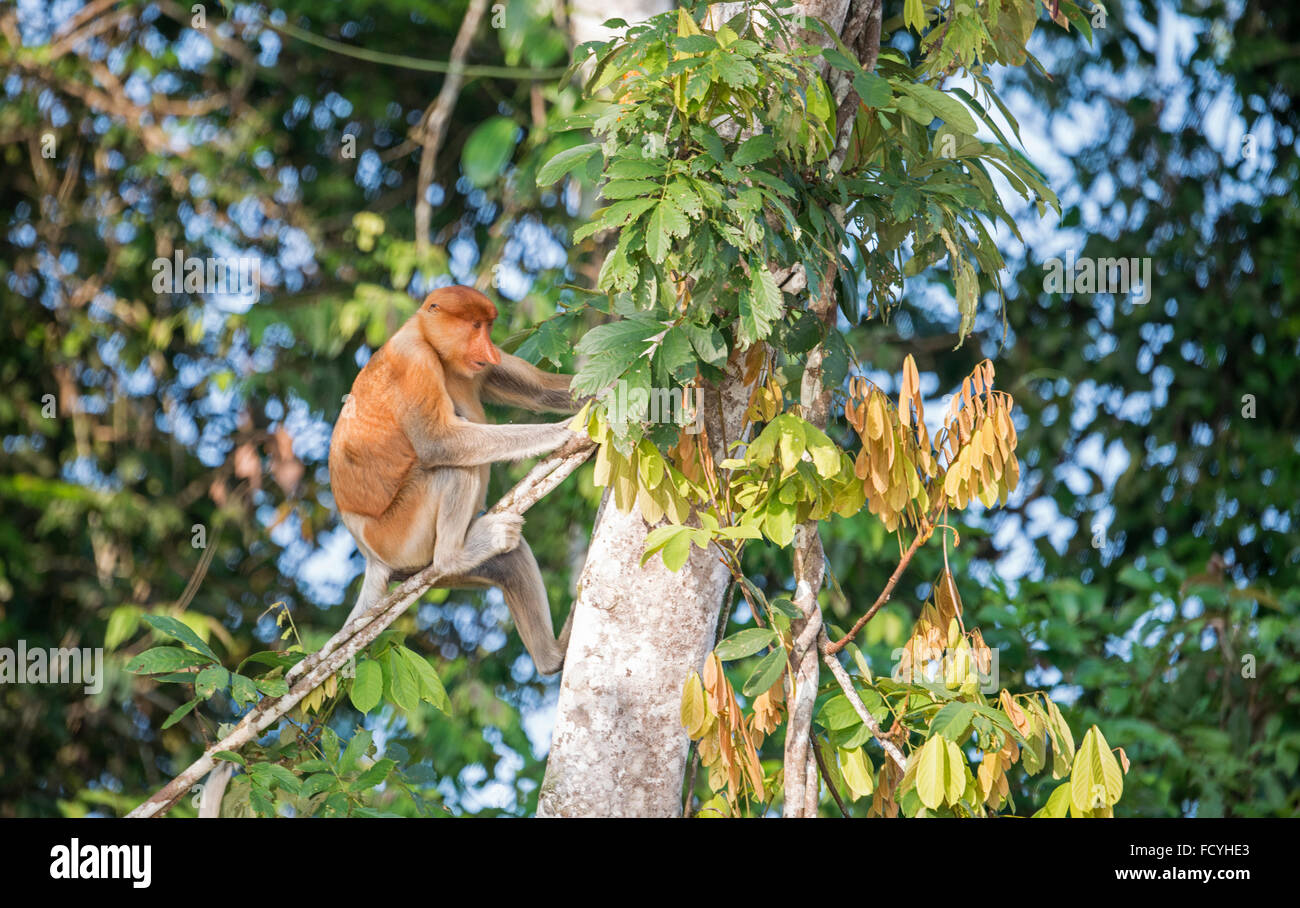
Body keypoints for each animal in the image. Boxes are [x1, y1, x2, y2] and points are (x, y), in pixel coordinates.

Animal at [328, 285, 584, 676]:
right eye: (475, 325)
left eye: (488, 327)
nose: (490, 352)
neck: (427, 338)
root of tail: (370, 555)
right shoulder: (413, 361)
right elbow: (438, 442)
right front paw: (560, 432)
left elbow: (544, 391)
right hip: (401, 537)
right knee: (454, 468)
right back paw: (454, 555)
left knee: (509, 559)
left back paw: (552, 658)